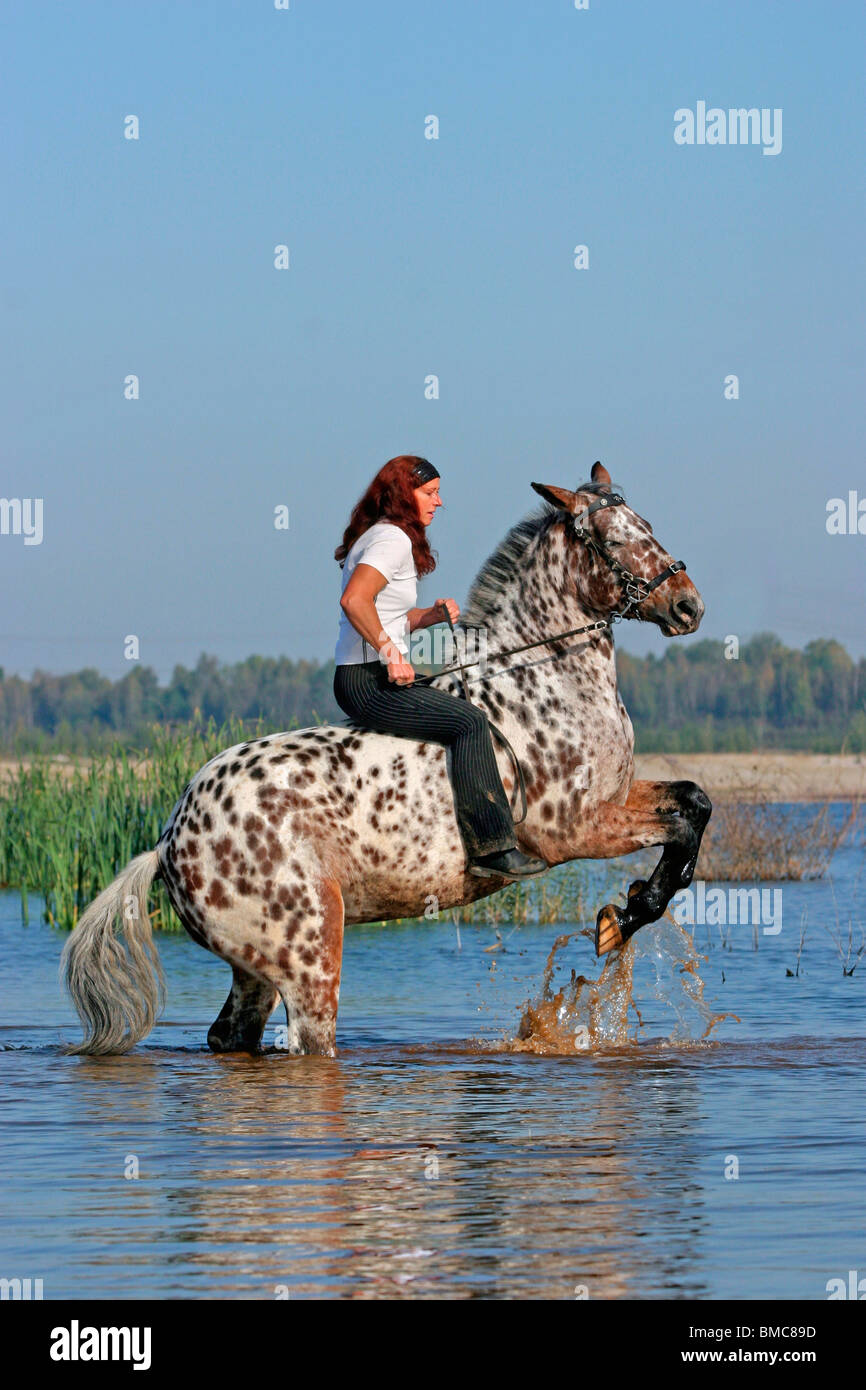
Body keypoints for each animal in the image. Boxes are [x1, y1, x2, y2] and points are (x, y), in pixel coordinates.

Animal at [62, 462, 711, 1058]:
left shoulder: (617, 797)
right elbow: (679, 826)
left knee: (230, 1035)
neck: (544, 677)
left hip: (253, 966)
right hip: (309, 953)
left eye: (649, 526)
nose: (688, 607)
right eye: (613, 541)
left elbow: (694, 804)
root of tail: (169, 840)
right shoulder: (577, 829)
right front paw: (626, 914)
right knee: (308, 1041)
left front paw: (629, 912)